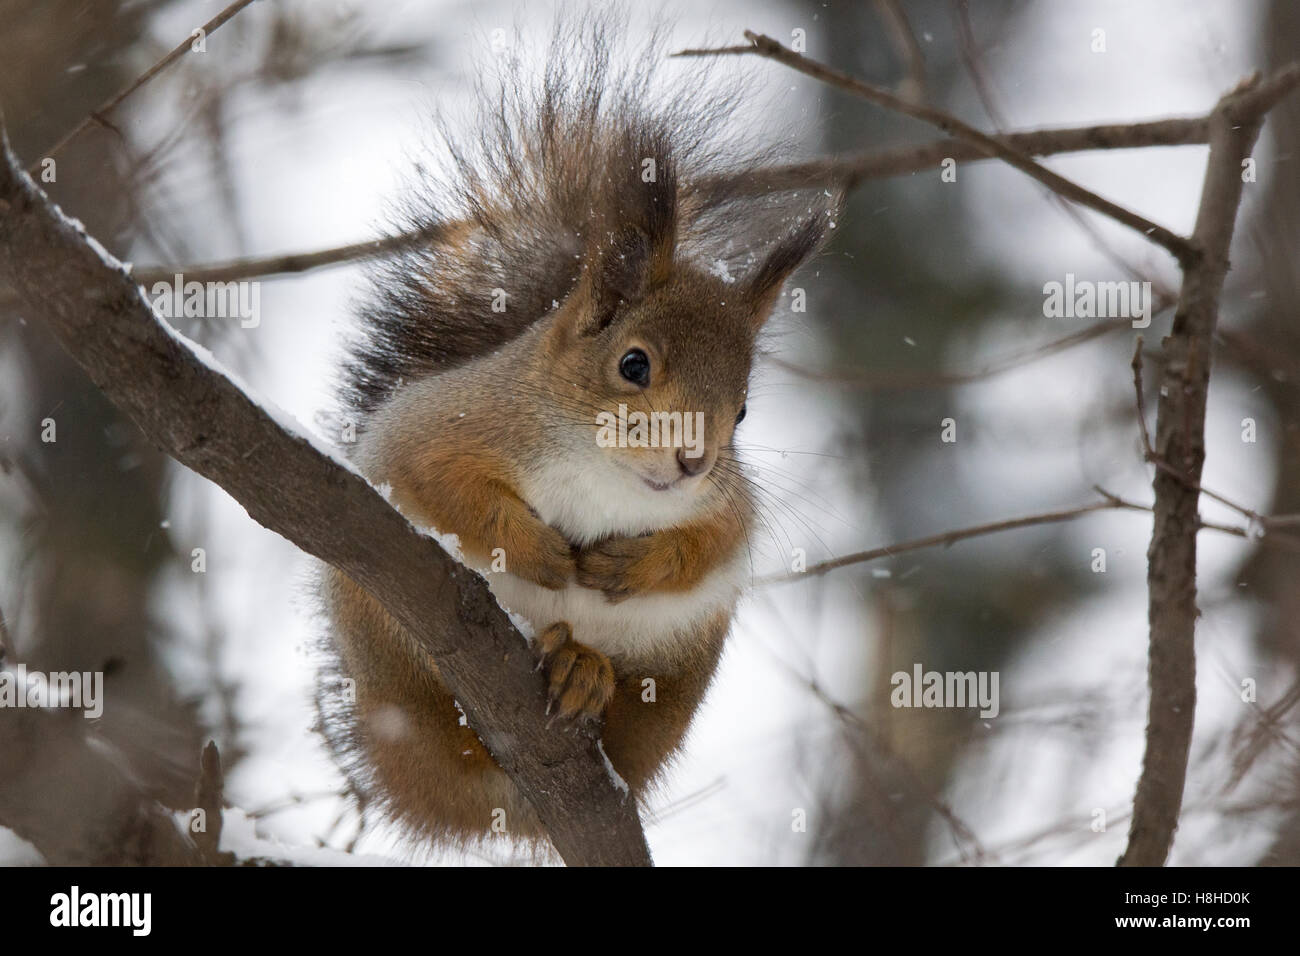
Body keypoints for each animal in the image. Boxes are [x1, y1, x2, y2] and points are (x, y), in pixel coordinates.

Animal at [316, 20, 836, 851]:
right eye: (633, 364)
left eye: (745, 413)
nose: (692, 461)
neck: (602, 472)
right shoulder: (443, 429)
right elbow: (441, 484)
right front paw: (535, 547)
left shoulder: (729, 503)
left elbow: (713, 543)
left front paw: (637, 562)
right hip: (386, 634)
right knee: (438, 729)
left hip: (675, 672)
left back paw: (585, 674)